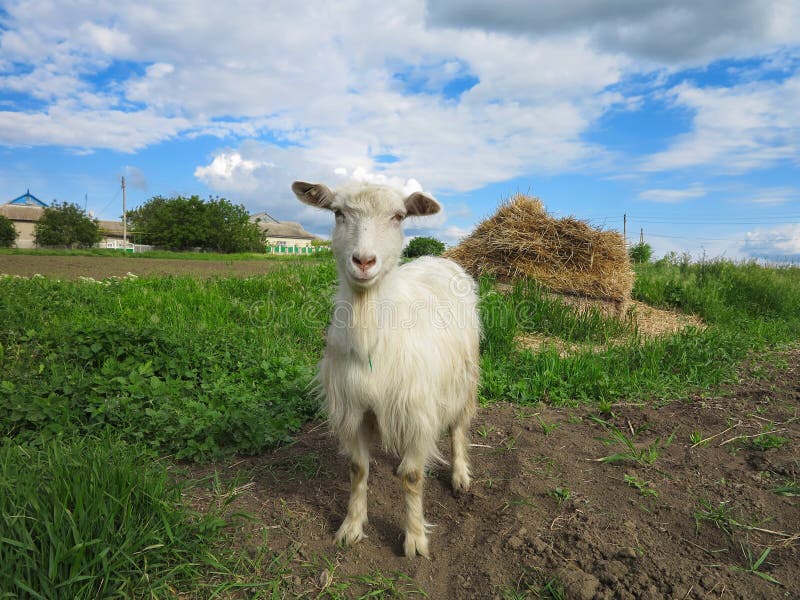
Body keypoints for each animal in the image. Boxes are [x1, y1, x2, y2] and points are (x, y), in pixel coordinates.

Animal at [294, 179, 482, 556]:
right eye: (337, 213)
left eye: (398, 216)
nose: (364, 261)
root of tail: (437, 258)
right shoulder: (352, 408)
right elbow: (358, 469)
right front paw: (351, 526)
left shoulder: (418, 409)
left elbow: (413, 478)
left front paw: (415, 539)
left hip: (463, 378)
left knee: (458, 426)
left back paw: (459, 476)